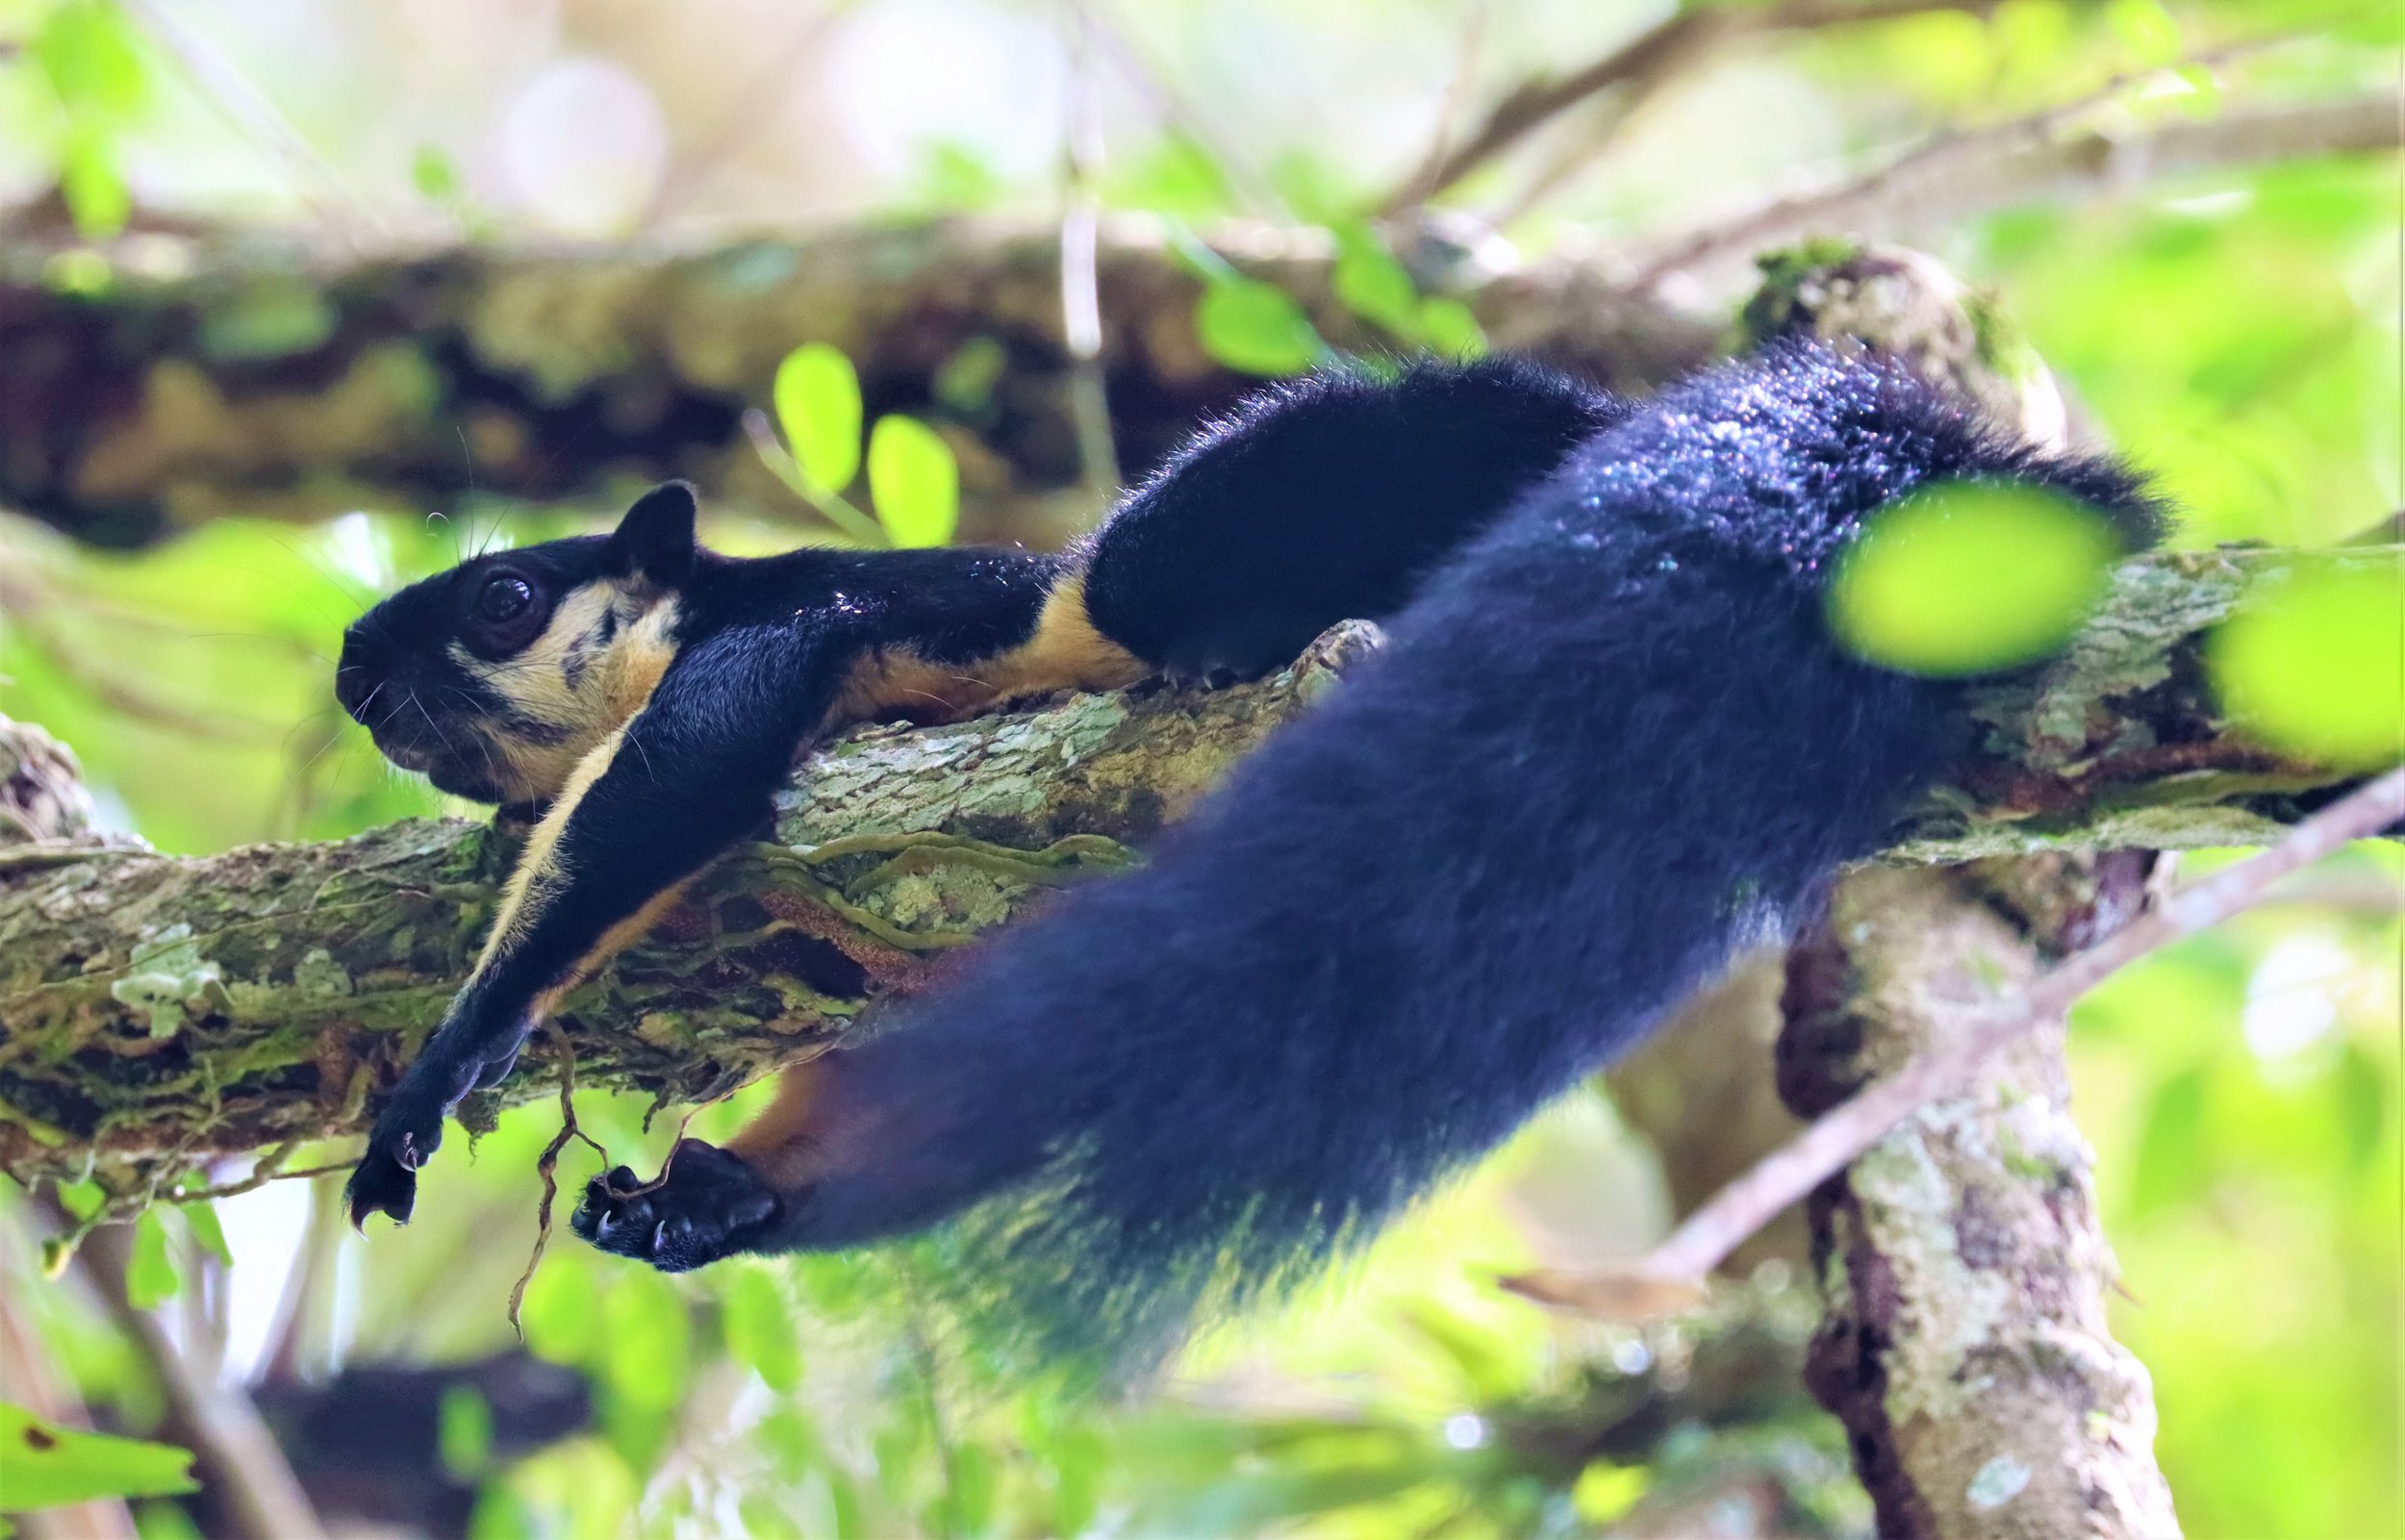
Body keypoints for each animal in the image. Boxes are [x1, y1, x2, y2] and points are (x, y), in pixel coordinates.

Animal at [336, 344, 2159, 1368]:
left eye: (502, 600)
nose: (354, 672)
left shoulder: (796, 630)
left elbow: (674, 776)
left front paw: (448, 1059)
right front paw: (719, 1194)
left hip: (1234, 521)